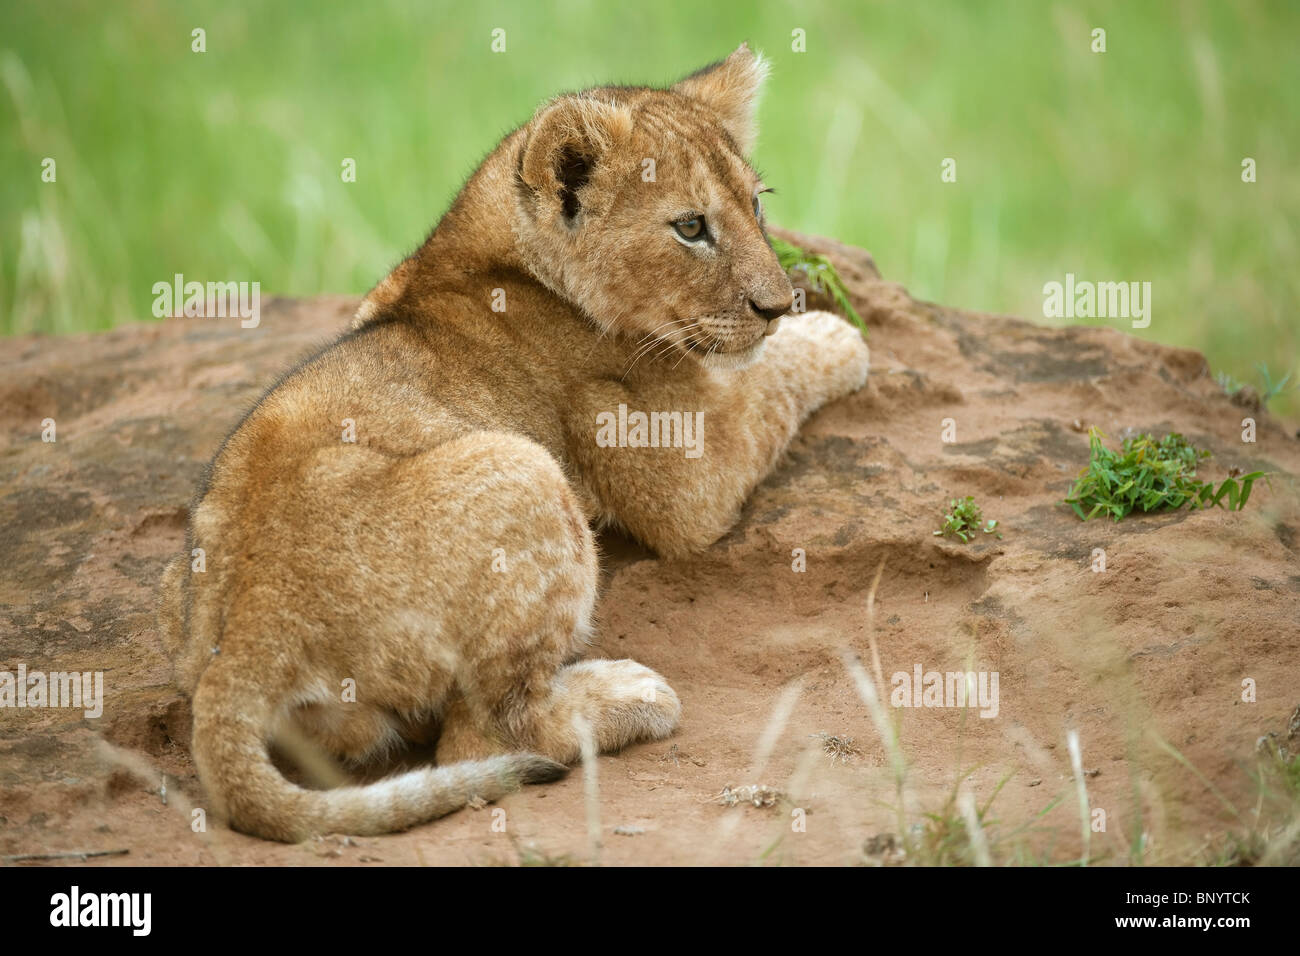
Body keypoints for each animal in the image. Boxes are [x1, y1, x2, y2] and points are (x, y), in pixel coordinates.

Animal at [157, 43, 870, 841]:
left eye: (757, 203)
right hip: (524, 468)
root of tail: (242, 650)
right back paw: (631, 695)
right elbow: (770, 389)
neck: (485, 249)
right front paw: (839, 337)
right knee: (487, 735)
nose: (777, 307)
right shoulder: (685, 480)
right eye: (690, 227)